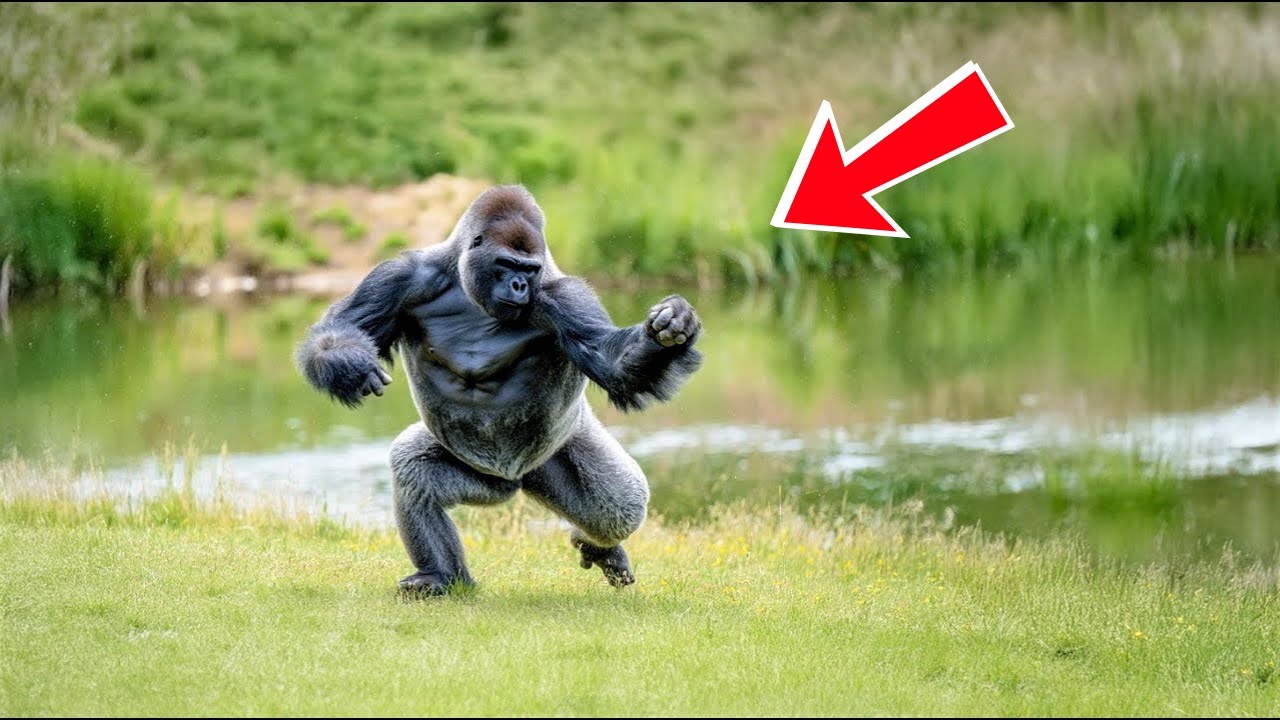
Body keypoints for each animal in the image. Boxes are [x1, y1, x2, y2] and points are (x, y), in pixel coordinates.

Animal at [295, 185, 702, 596]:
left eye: (530, 270)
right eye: (507, 264)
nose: (520, 286)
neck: (467, 286)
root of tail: (516, 481)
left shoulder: (564, 296)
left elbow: (612, 362)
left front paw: (668, 334)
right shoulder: (399, 278)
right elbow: (345, 326)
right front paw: (348, 364)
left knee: (619, 508)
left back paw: (598, 546)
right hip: (485, 481)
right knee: (415, 469)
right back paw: (443, 575)